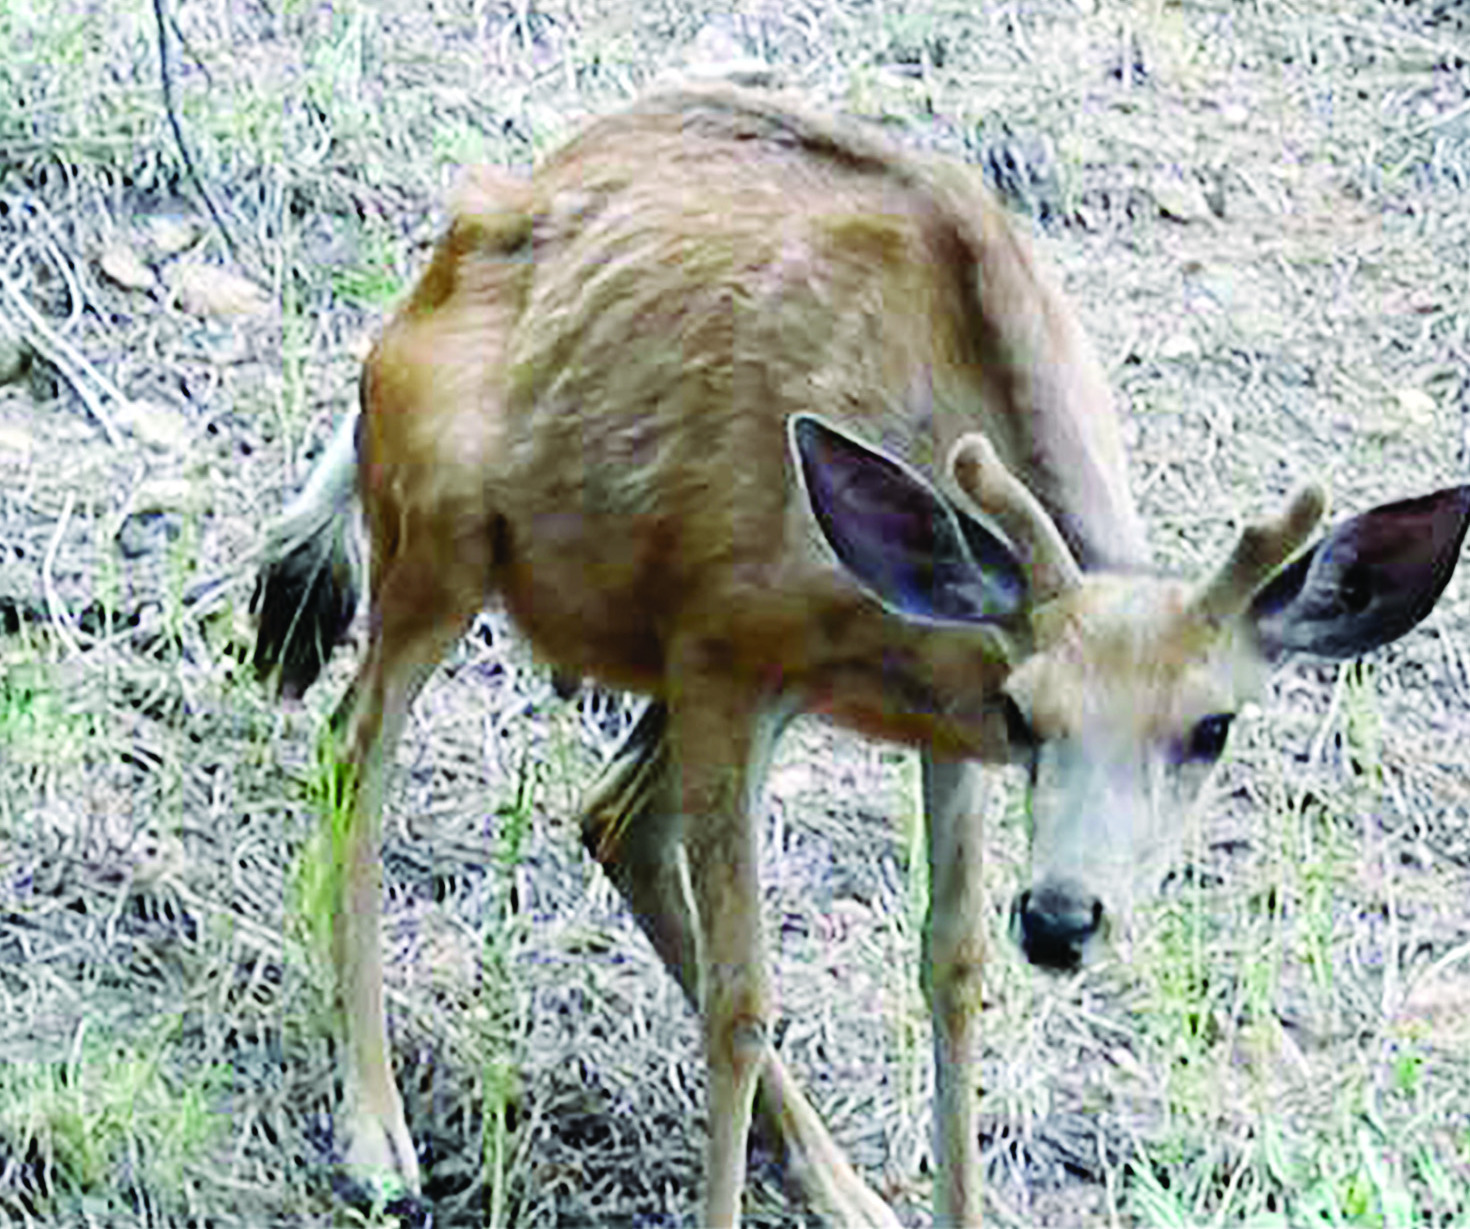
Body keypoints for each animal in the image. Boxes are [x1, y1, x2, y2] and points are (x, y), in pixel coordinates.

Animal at [251, 85, 1470, 1228]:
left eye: (1211, 728)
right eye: (1033, 715)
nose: (1063, 918)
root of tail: (458, 239)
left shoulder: (939, 724)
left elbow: (953, 970)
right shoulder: (724, 649)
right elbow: (742, 999)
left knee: (608, 814)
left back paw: (840, 1181)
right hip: (442, 530)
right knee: (356, 747)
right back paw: (375, 1130)